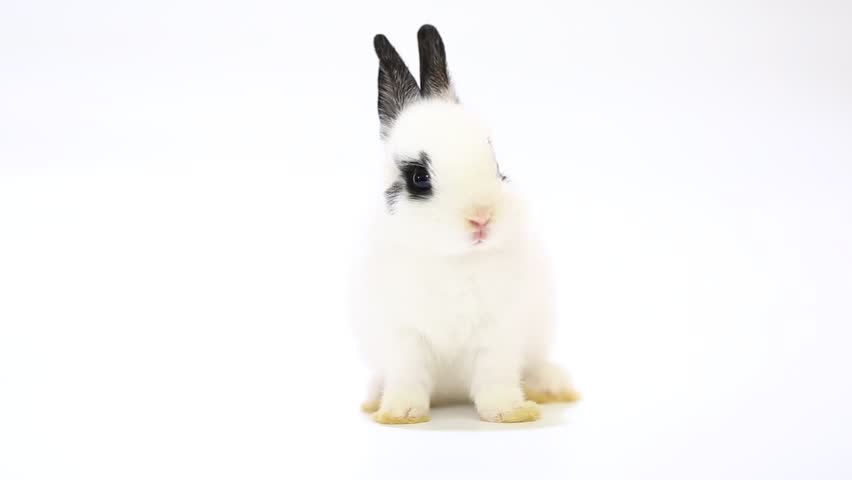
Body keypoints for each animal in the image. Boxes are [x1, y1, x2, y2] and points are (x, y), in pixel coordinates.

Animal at [349, 24, 579, 424]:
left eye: (495, 162)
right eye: (418, 177)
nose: (481, 217)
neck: (453, 258)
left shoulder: (499, 332)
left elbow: (495, 376)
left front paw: (511, 412)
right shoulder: (403, 336)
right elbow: (407, 375)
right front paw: (400, 413)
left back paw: (553, 388)